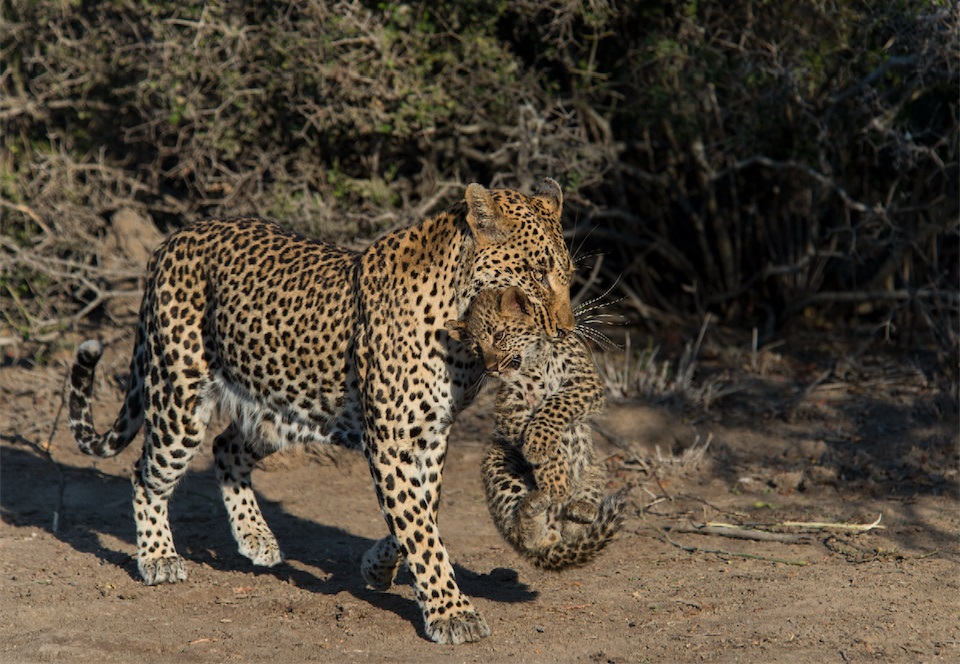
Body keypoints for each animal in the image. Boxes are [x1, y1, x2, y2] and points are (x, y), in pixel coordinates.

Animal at [67, 179, 576, 645]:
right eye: (538, 273)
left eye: (567, 274)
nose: (566, 330)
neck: (462, 336)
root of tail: (173, 239)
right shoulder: (391, 441)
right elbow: (420, 528)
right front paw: (452, 614)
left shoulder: (430, 436)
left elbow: (421, 515)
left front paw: (379, 568)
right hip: (180, 401)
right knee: (145, 472)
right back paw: (158, 557)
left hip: (279, 405)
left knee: (226, 446)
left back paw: (256, 538)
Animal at [445, 286, 627, 571]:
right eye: (476, 348)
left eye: (499, 335)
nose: (491, 369)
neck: (535, 361)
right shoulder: (510, 408)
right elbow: (532, 426)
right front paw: (552, 473)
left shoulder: (585, 383)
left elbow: (554, 405)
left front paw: (544, 453)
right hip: (497, 458)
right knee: (525, 535)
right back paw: (535, 505)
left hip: (596, 466)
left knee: (572, 528)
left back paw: (580, 510)